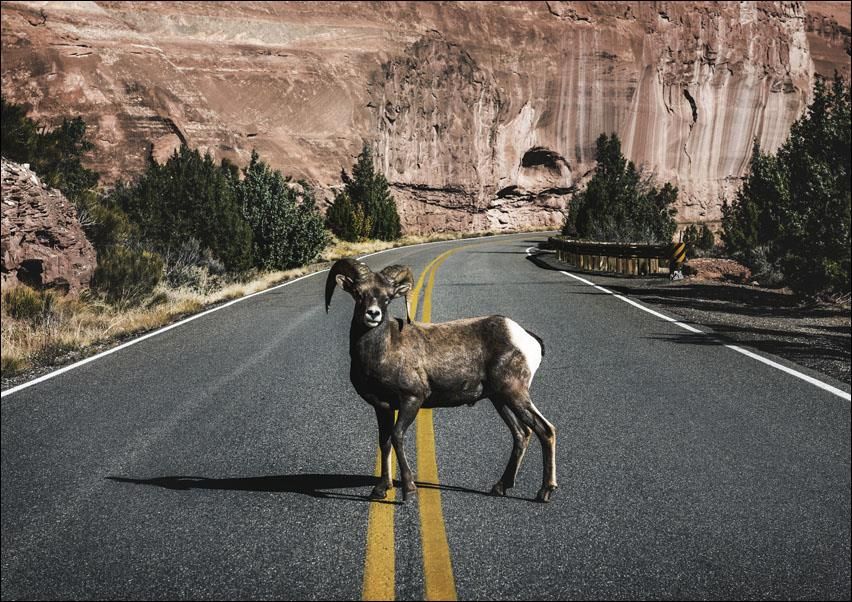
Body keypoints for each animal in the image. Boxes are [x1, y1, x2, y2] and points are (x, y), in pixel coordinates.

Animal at [325, 257, 558, 503]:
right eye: (358, 293)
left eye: (387, 297)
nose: (373, 314)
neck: (382, 350)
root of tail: (526, 337)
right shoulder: (383, 407)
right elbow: (385, 441)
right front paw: (380, 490)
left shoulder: (412, 399)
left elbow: (397, 437)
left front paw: (409, 490)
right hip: (500, 399)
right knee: (522, 434)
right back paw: (500, 487)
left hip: (515, 393)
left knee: (546, 430)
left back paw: (544, 491)